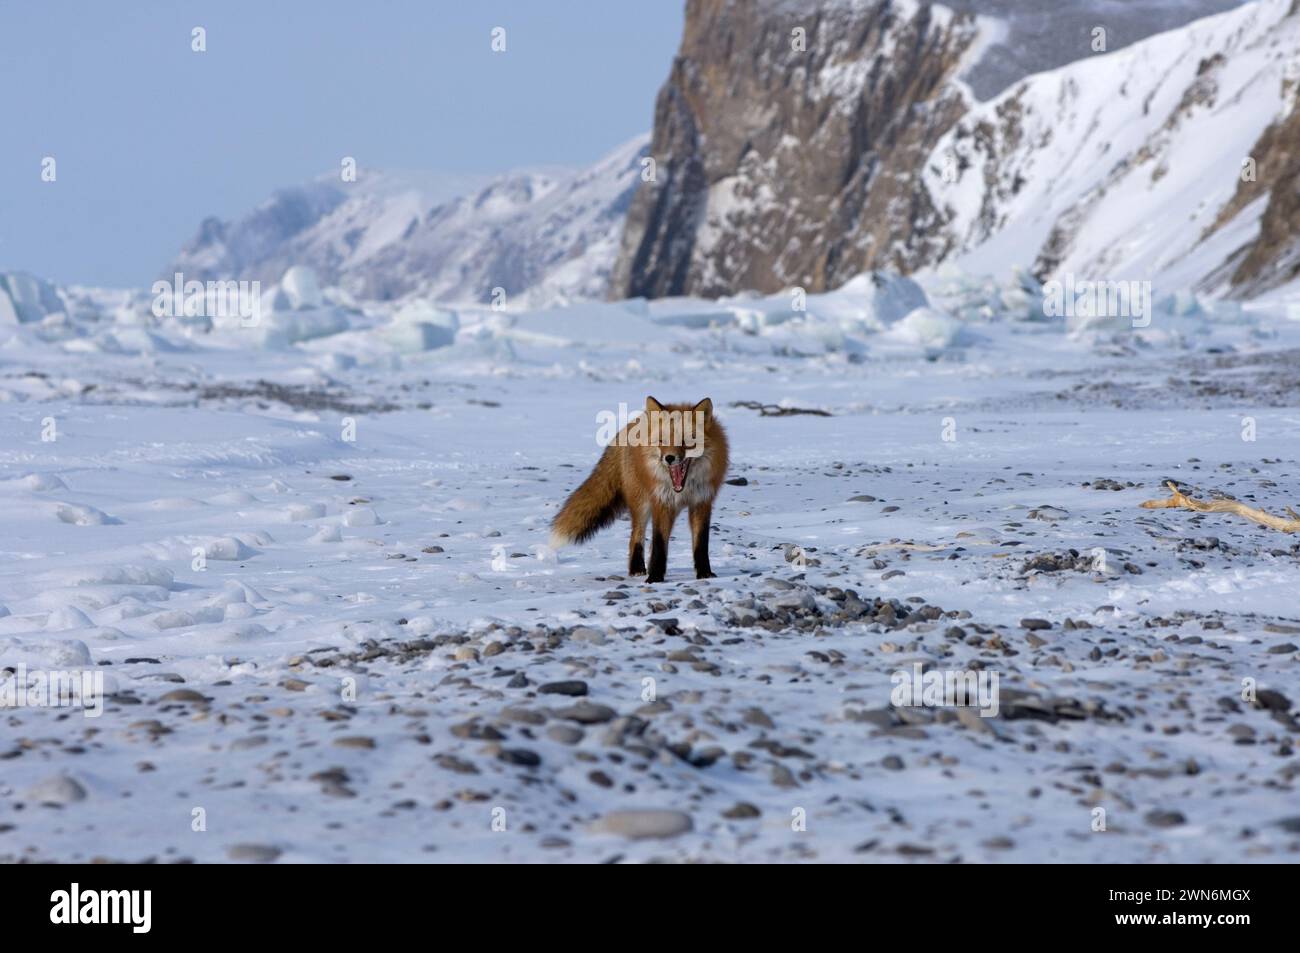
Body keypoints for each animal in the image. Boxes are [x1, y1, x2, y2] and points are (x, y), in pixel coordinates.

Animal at [550, 396, 729, 583]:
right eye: (662, 441)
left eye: (686, 443)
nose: (669, 458)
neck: (683, 489)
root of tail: (631, 424)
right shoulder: (661, 503)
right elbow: (659, 543)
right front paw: (655, 577)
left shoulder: (701, 502)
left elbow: (701, 543)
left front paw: (704, 573)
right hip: (641, 504)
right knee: (636, 536)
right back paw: (637, 568)